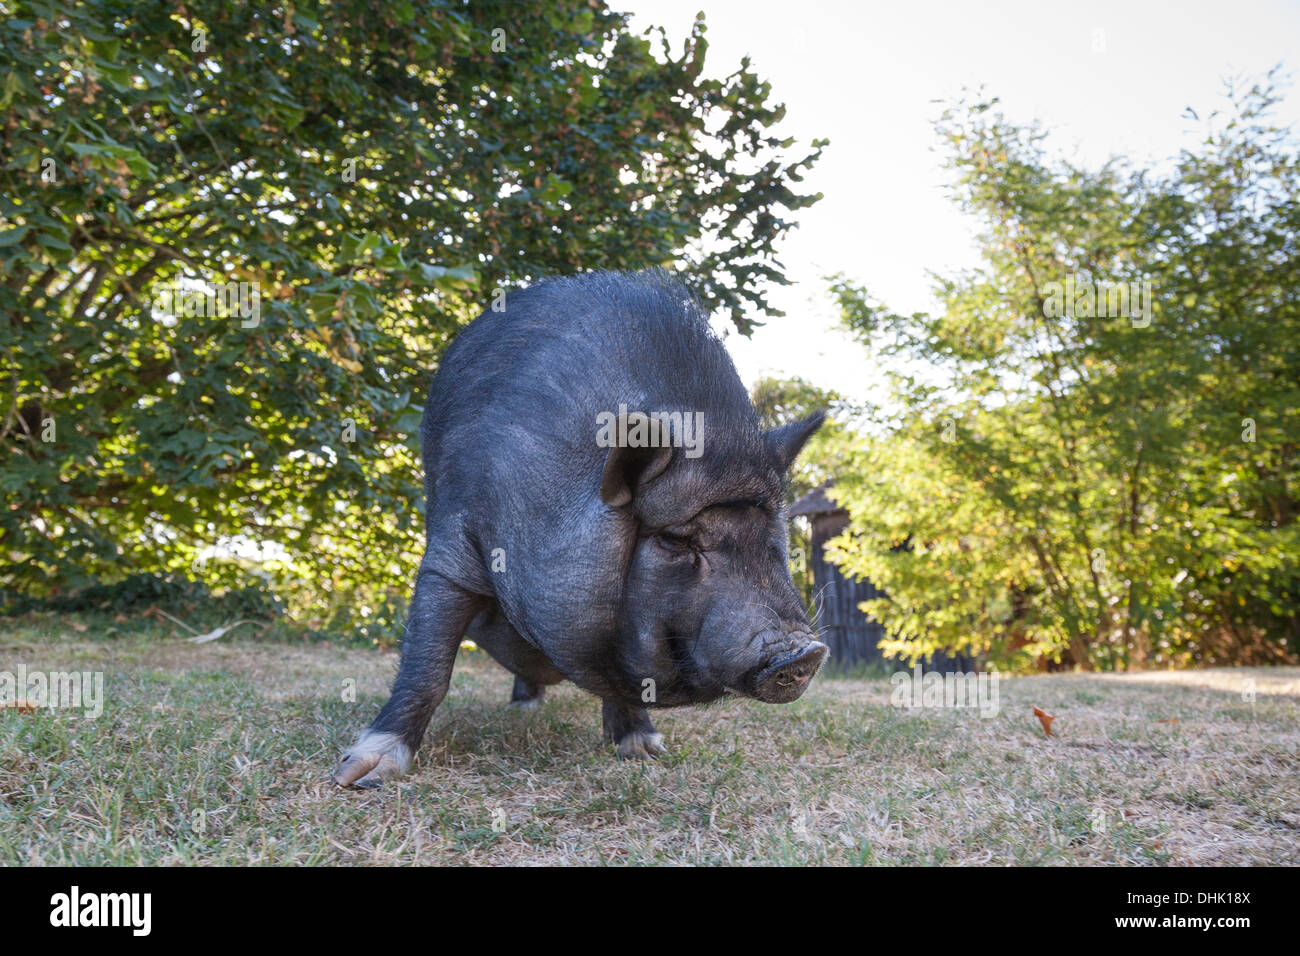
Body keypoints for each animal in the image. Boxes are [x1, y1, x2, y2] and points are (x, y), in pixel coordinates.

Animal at [334, 269, 826, 787]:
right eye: (675, 539)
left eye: (773, 536)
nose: (804, 652)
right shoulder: (452, 551)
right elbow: (427, 666)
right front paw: (359, 776)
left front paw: (646, 752)